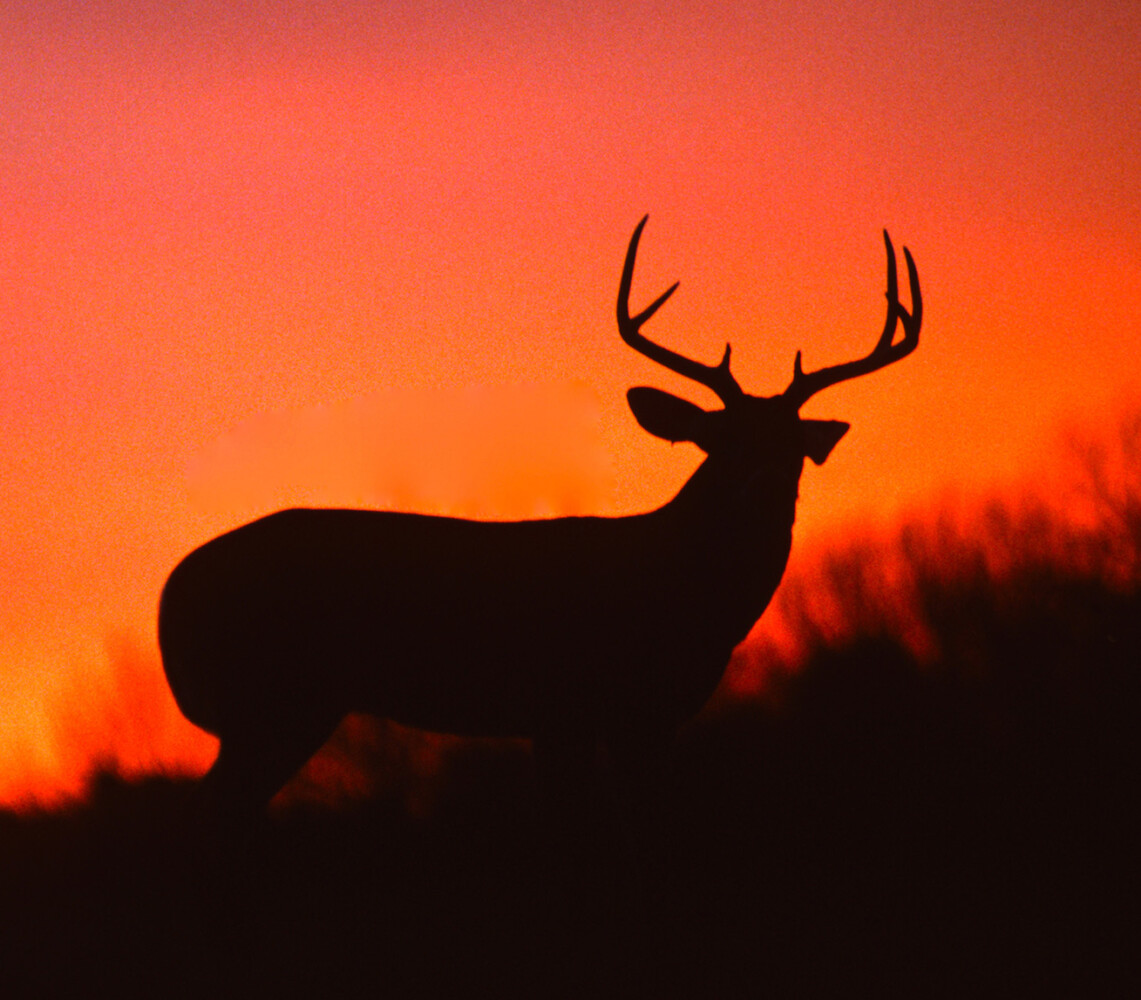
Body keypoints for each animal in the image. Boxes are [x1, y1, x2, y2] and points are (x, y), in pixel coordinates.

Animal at [158, 217, 920, 822]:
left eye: (791, 448)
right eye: (721, 439)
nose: (761, 488)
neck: (680, 596)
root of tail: (173, 592)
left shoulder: (644, 718)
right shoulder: (570, 703)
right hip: (276, 699)